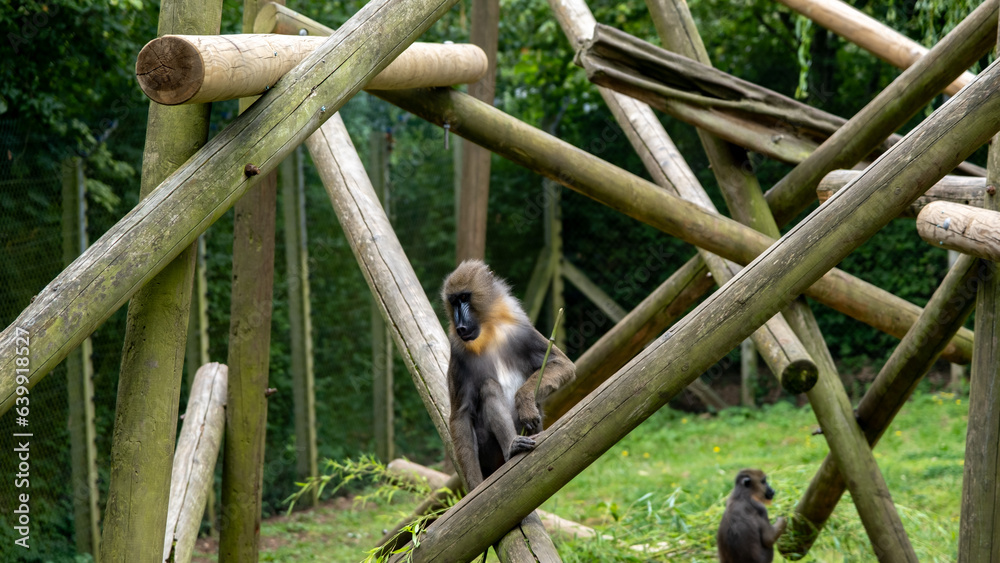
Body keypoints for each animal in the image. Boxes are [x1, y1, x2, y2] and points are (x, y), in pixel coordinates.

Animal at [442, 260, 575, 491]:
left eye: (465, 297)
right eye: (453, 301)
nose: (460, 326)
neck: (488, 331)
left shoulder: (522, 332)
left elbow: (562, 364)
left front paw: (525, 403)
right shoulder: (458, 355)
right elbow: (461, 415)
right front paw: (475, 487)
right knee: (488, 387)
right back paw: (513, 447)